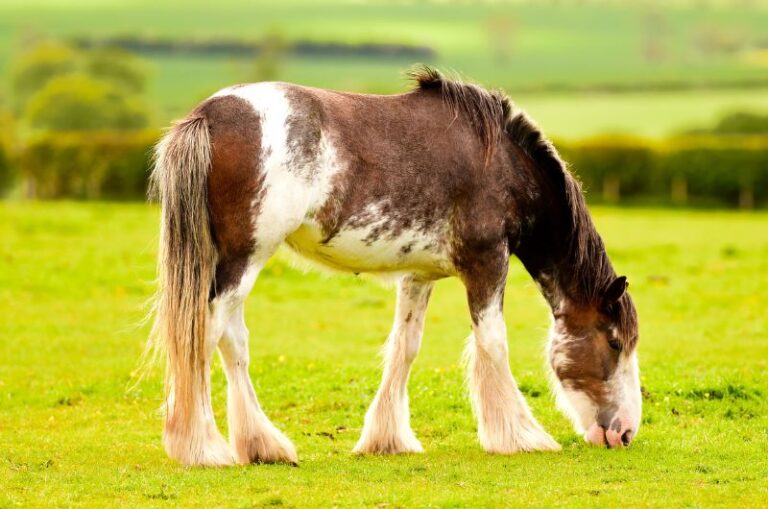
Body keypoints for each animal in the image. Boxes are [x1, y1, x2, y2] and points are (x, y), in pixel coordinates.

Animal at [148, 66, 640, 467]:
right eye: (615, 342)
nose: (625, 433)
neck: (501, 165)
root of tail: (208, 116)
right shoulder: (487, 264)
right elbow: (493, 344)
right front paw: (521, 436)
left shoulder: (419, 276)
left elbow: (405, 347)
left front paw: (387, 439)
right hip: (243, 260)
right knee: (205, 334)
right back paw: (202, 448)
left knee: (233, 342)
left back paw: (261, 446)